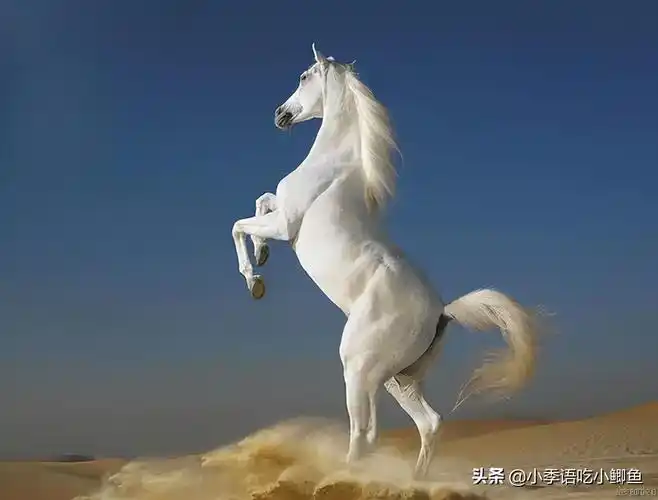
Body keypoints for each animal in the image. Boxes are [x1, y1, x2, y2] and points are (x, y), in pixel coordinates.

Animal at [231, 44, 539, 479]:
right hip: (396, 378)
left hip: (358, 368)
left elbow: (239, 224)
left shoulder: (286, 223)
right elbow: (260, 202)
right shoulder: (280, 214)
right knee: (428, 423)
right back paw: (413, 480)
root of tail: (442, 312)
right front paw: (262, 255)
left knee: (365, 434)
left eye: (304, 76)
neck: (335, 166)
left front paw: (254, 279)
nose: (280, 114)